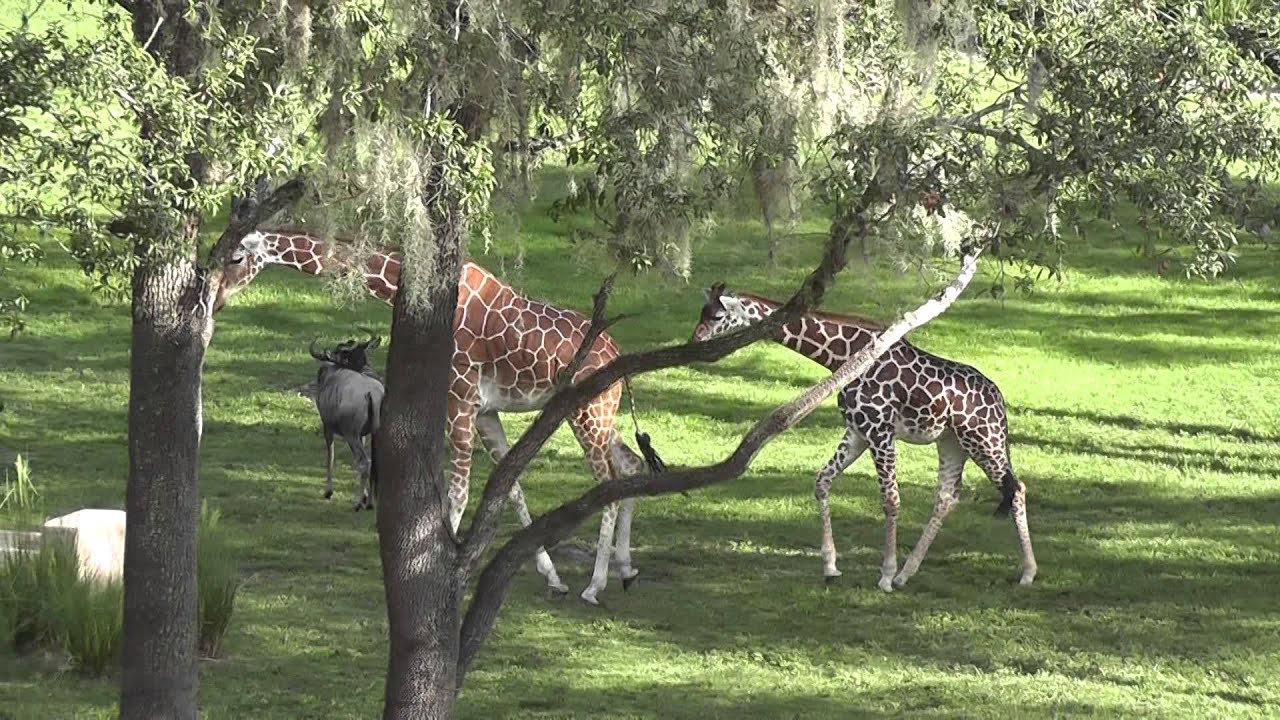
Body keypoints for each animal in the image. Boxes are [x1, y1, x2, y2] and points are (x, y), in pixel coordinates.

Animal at [213, 228, 652, 605]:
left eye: (237, 257)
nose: (216, 300)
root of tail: (617, 354)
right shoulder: (485, 411)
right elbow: (511, 489)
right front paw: (553, 577)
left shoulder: (460, 399)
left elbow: (457, 493)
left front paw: (438, 572)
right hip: (601, 411)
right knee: (632, 466)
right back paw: (627, 569)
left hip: (588, 411)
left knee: (609, 483)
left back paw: (595, 586)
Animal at [691, 283, 1036, 592]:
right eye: (702, 311)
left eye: (718, 314)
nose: (696, 339)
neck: (842, 355)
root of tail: (1000, 401)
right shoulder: (858, 431)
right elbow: (822, 481)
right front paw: (831, 566)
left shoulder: (880, 431)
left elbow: (891, 500)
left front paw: (885, 576)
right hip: (952, 442)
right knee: (947, 497)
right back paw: (907, 574)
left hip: (984, 440)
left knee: (1017, 488)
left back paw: (1028, 573)